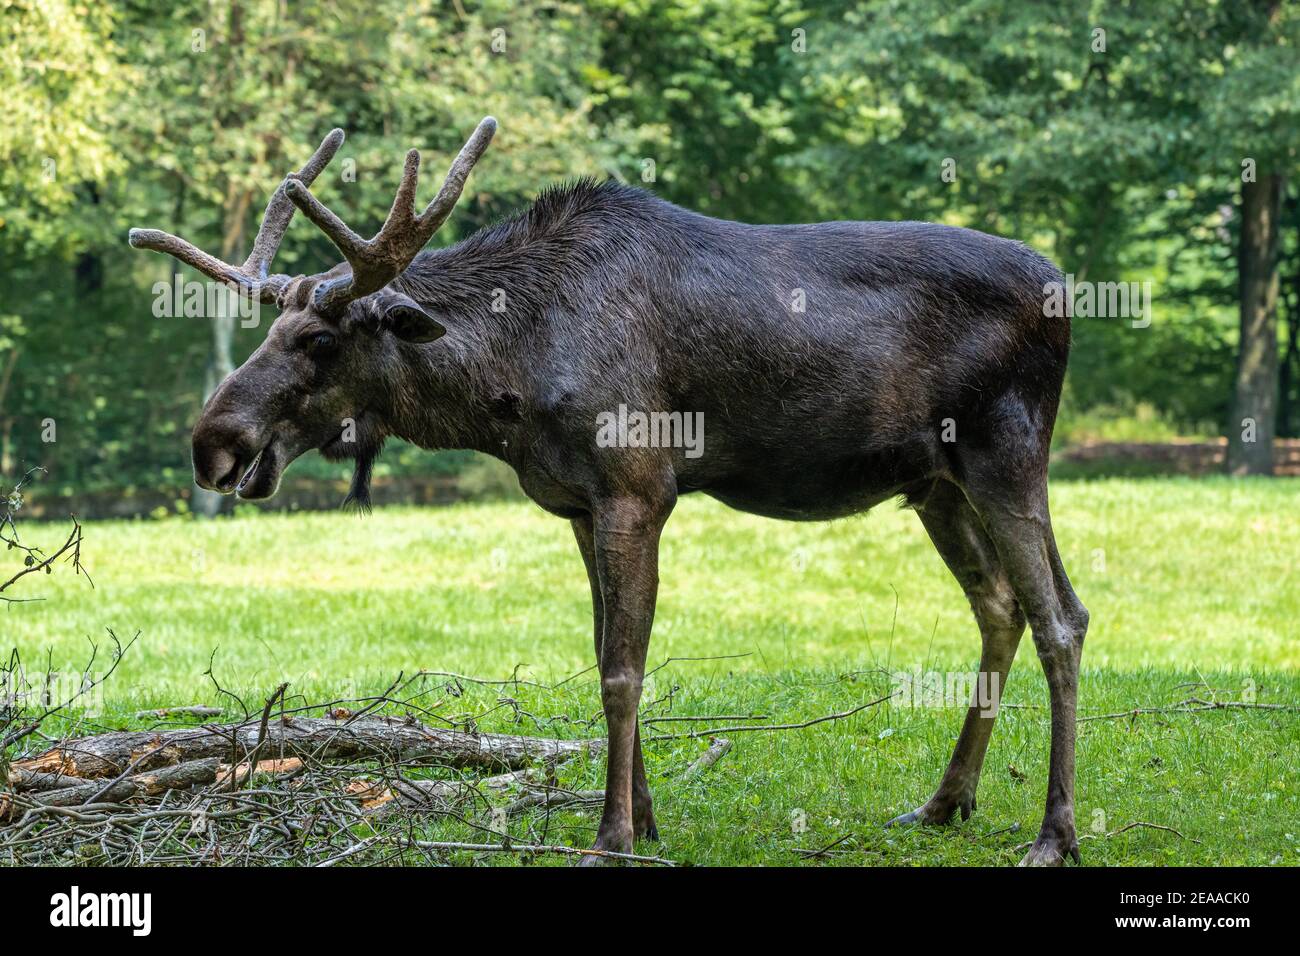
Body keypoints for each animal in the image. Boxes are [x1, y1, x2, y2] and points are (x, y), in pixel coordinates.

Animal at [129, 118, 1089, 866]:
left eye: (322, 340)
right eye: (273, 330)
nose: (213, 445)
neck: (506, 381)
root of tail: (1067, 290)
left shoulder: (638, 489)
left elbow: (625, 669)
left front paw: (612, 835)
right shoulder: (576, 505)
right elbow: (601, 655)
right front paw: (644, 819)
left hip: (1007, 448)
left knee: (1061, 617)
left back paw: (1053, 834)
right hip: (935, 482)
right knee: (1000, 605)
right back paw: (944, 803)